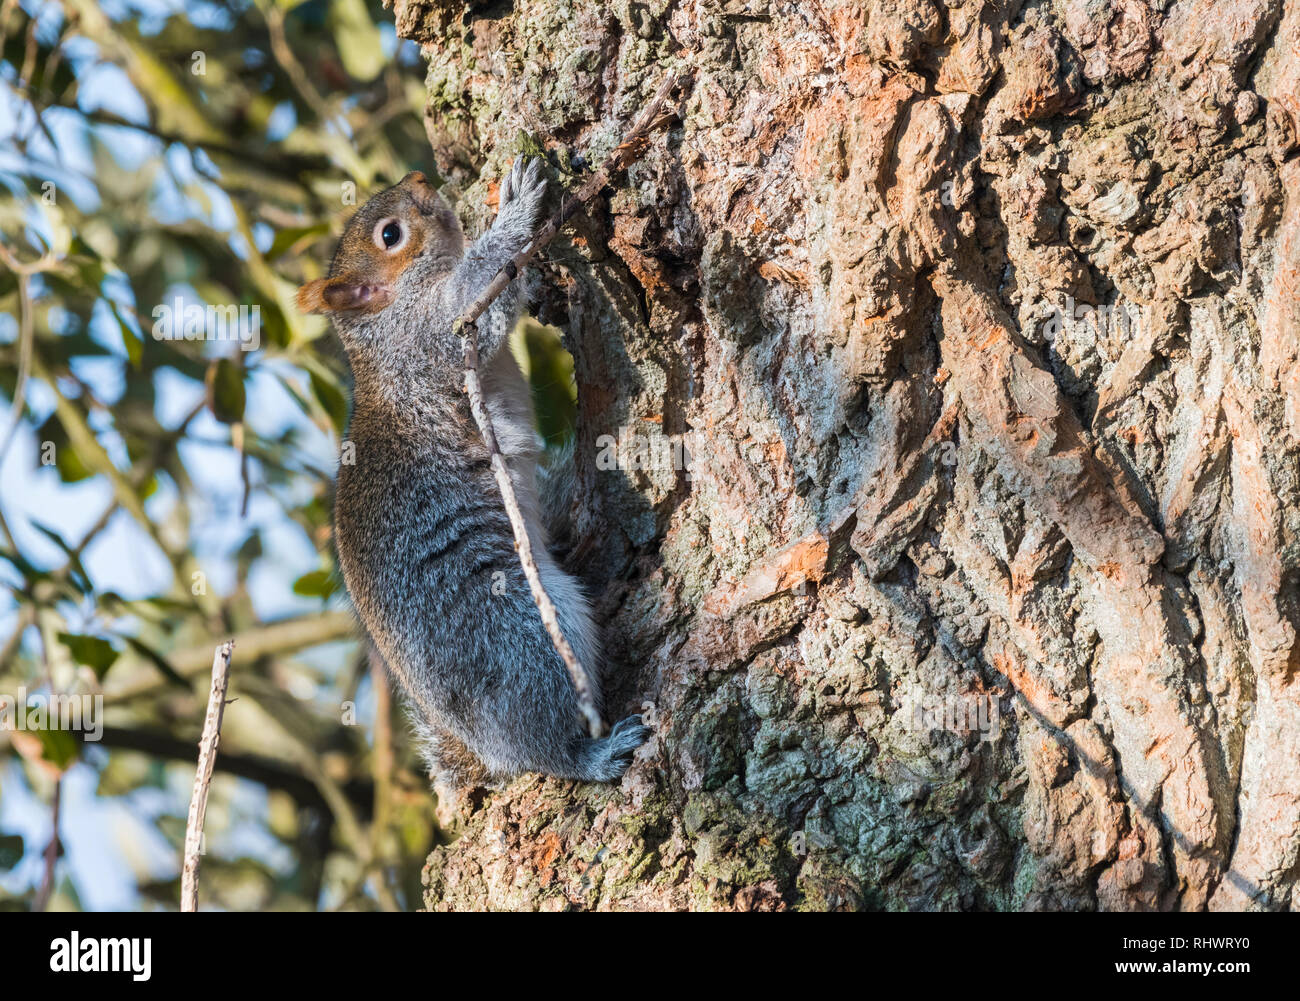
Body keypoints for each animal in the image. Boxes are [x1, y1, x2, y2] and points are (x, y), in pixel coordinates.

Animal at [297, 158, 649, 790]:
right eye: (390, 235)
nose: (418, 178)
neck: (384, 325)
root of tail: (476, 744)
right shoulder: (434, 335)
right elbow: (479, 293)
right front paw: (516, 206)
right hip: (520, 631)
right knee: (541, 741)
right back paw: (592, 755)